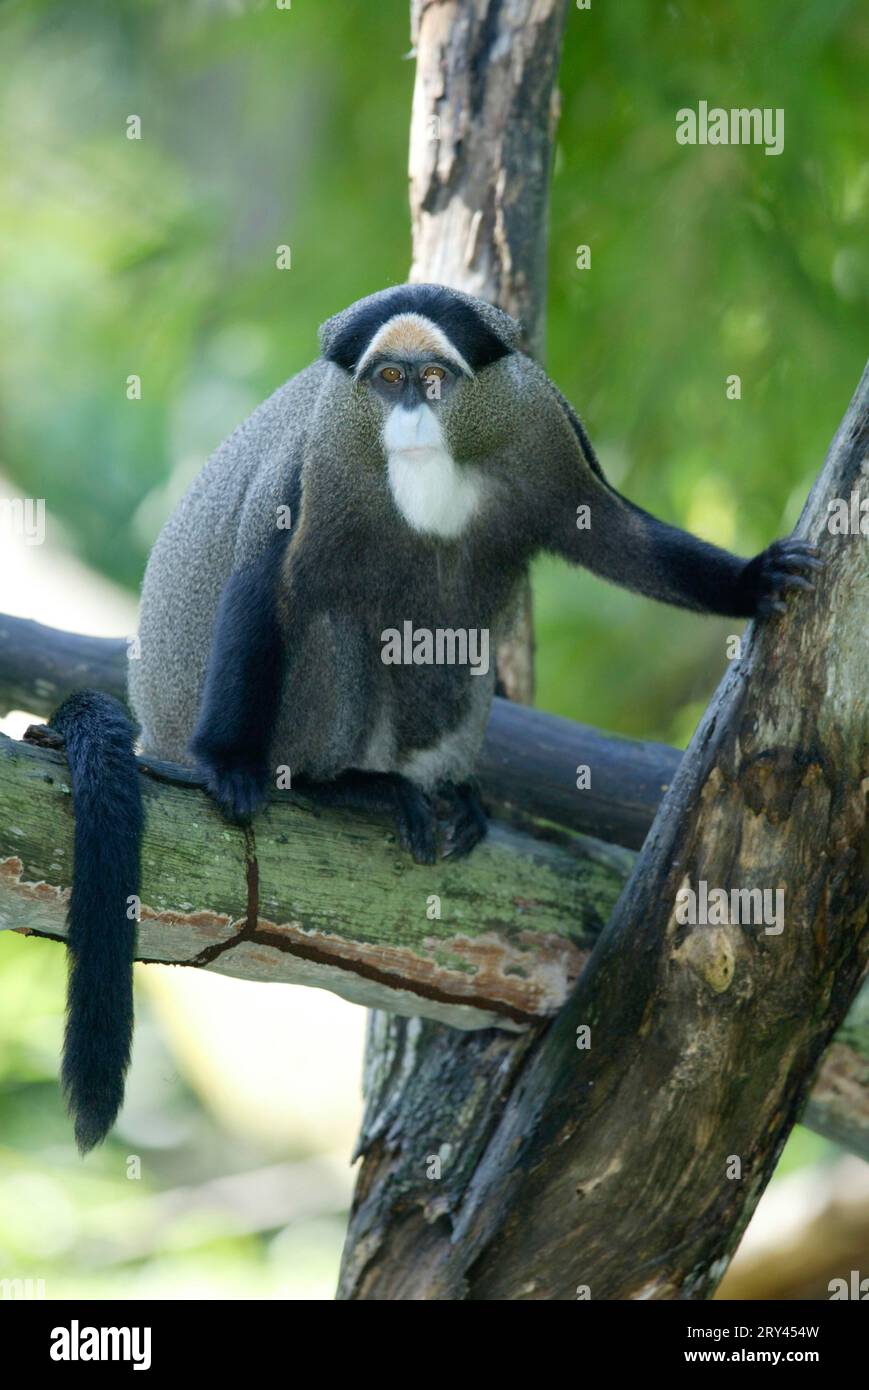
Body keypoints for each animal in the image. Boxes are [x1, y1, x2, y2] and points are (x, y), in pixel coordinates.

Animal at [49, 276, 817, 1145]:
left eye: (433, 380)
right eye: (387, 380)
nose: (411, 415)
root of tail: (159, 729)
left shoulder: (537, 426)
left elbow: (617, 534)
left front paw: (750, 580)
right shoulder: (317, 464)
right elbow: (264, 589)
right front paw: (232, 769)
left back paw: (444, 791)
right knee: (329, 622)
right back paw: (347, 788)